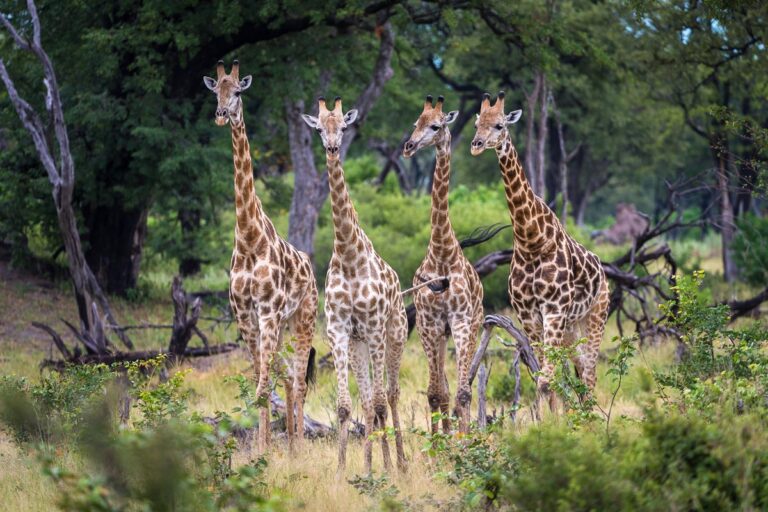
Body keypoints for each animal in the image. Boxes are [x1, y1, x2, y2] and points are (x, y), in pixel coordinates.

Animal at [204, 60, 318, 452]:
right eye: (215, 91)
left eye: (238, 91)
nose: (221, 115)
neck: (249, 239)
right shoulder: (244, 315)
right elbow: (260, 382)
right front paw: (262, 448)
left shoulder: (267, 311)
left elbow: (263, 386)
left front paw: (268, 449)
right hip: (282, 325)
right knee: (287, 376)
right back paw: (293, 443)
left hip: (303, 318)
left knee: (298, 379)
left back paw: (300, 446)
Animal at [302, 96, 407, 475]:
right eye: (320, 128)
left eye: (344, 127)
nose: (333, 148)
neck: (348, 255)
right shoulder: (338, 330)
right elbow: (347, 406)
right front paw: (345, 469)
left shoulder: (375, 328)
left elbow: (378, 401)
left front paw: (377, 468)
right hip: (360, 343)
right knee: (368, 399)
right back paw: (380, 462)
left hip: (394, 335)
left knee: (389, 395)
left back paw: (400, 463)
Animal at [470, 91, 609, 414]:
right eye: (476, 124)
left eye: (499, 125)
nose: (476, 145)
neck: (531, 239)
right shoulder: (529, 315)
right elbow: (544, 378)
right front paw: (551, 423)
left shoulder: (553, 309)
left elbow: (547, 379)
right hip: (571, 328)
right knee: (580, 372)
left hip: (595, 318)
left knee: (591, 374)